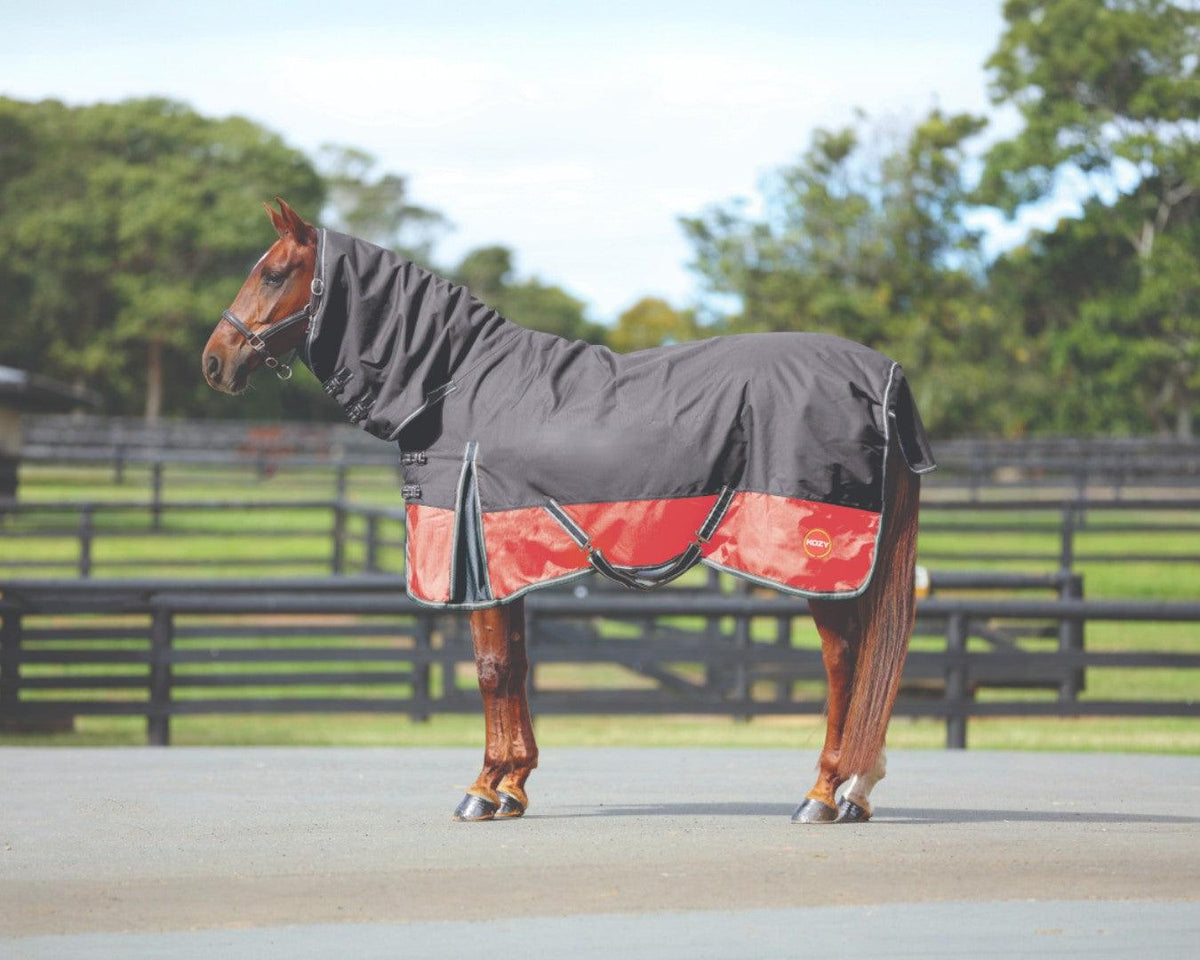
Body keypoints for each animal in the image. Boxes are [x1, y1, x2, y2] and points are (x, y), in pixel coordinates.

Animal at [203, 198, 933, 824]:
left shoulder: (480, 554)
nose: (215, 361)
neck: (456, 383)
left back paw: (824, 792)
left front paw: (480, 790)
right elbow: (517, 666)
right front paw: (512, 785)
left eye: (272, 273)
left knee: (845, 663)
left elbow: (492, 670)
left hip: (818, 562)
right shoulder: (504, 557)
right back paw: (857, 791)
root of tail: (886, 375)